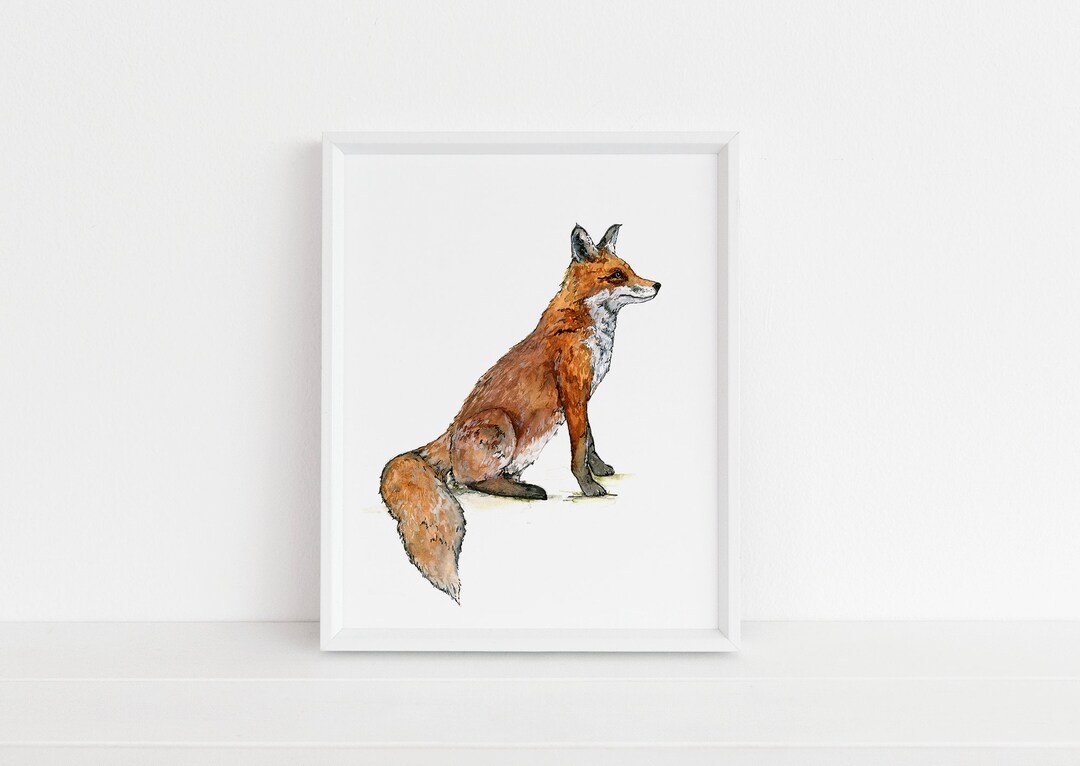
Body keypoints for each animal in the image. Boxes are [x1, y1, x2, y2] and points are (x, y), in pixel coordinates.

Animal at [379, 223, 661, 602]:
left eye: (631, 269)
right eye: (617, 275)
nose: (657, 285)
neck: (585, 327)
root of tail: (448, 433)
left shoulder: (584, 397)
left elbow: (590, 441)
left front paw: (601, 469)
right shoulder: (573, 394)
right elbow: (579, 449)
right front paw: (589, 486)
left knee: (462, 478)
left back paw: (518, 482)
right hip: (499, 425)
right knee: (466, 480)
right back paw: (526, 489)